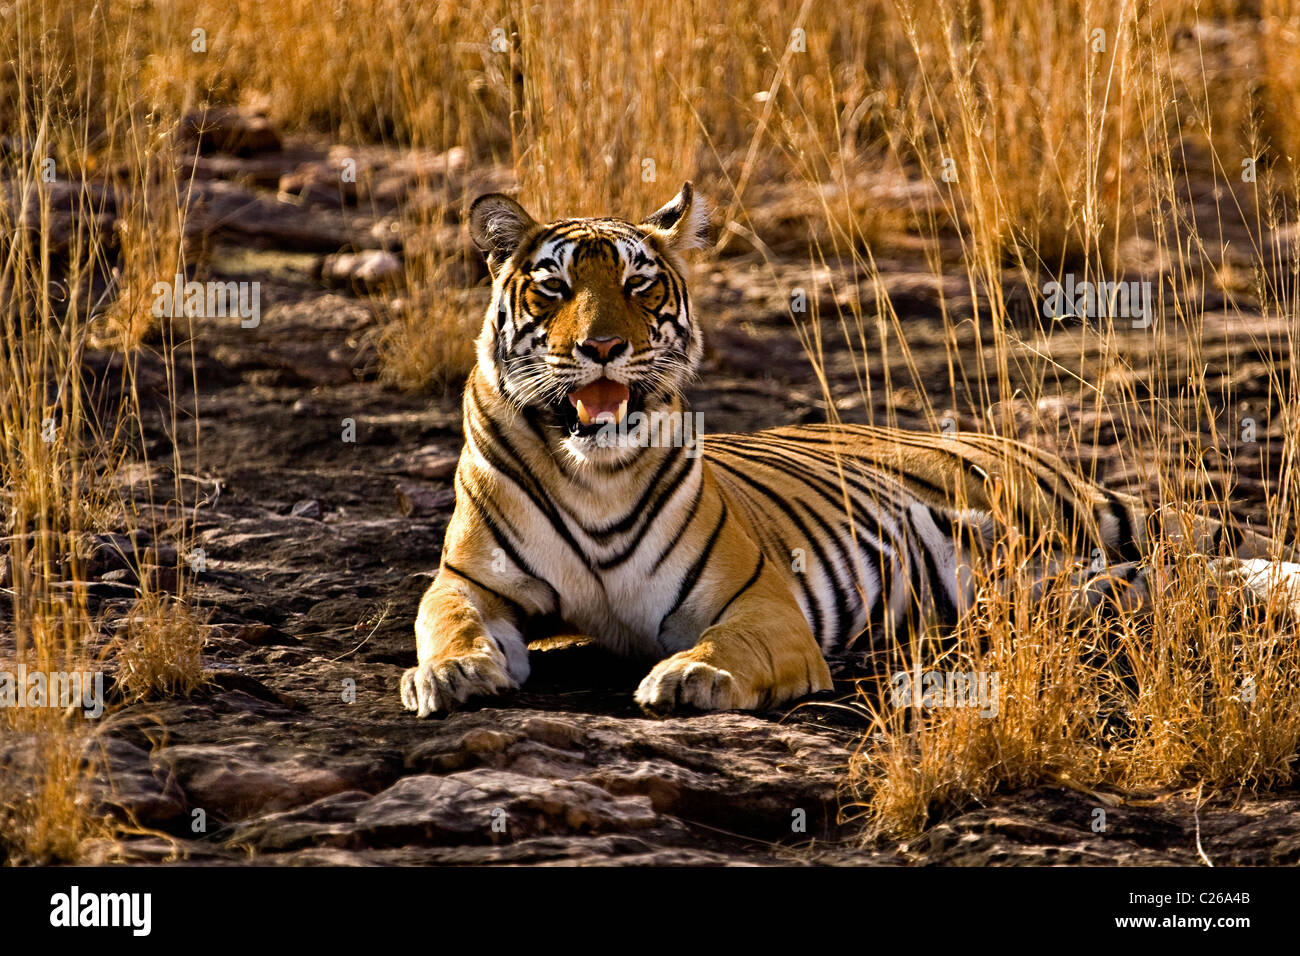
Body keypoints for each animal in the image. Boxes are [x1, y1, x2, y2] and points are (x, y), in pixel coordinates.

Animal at [399, 182, 1281, 718]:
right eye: (553, 288)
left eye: (639, 285)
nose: (605, 349)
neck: (594, 470)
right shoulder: (471, 581)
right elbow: (446, 620)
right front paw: (449, 673)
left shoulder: (758, 601)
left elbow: (731, 644)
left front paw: (691, 675)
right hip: (1062, 576)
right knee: (1166, 580)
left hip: (1084, 513)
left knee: (1222, 546)